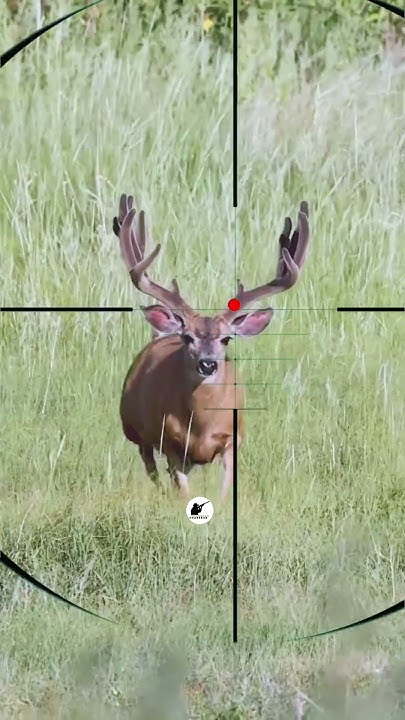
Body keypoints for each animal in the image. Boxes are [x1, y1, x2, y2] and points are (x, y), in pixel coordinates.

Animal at [112, 194, 310, 503]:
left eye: (226, 339)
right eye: (187, 337)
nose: (208, 363)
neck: (203, 425)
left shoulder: (233, 438)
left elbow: (226, 489)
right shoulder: (171, 443)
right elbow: (181, 488)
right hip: (135, 430)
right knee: (151, 469)